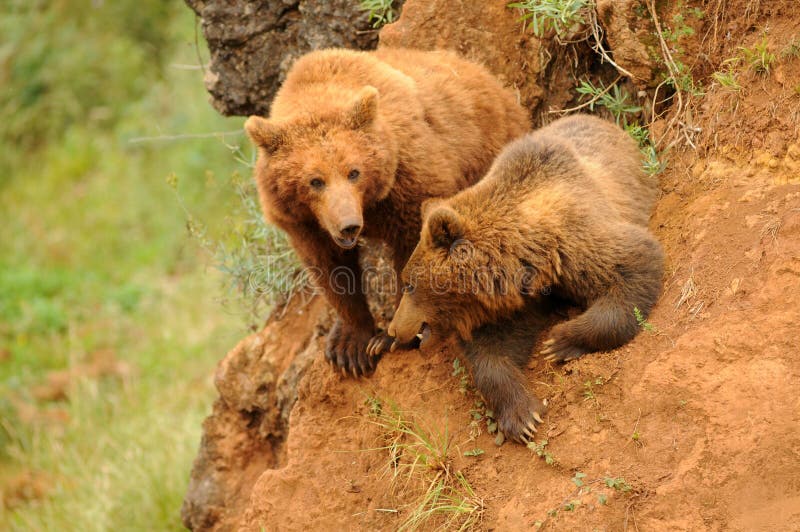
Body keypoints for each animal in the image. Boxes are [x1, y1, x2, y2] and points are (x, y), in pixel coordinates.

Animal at [244, 48, 530, 377]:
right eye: (315, 180)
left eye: (354, 172)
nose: (349, 226)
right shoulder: (304, 222)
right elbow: (329, 269)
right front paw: (349, 347)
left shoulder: (407, 178)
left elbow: (413, 249)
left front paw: (389, 337)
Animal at [384, 114, 664, 443]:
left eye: (409, 283)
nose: (393, 329)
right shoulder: (515, 300)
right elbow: (493, 350)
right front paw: (523, 416)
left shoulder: (574, 238)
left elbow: (633, 263)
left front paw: (560, 340)